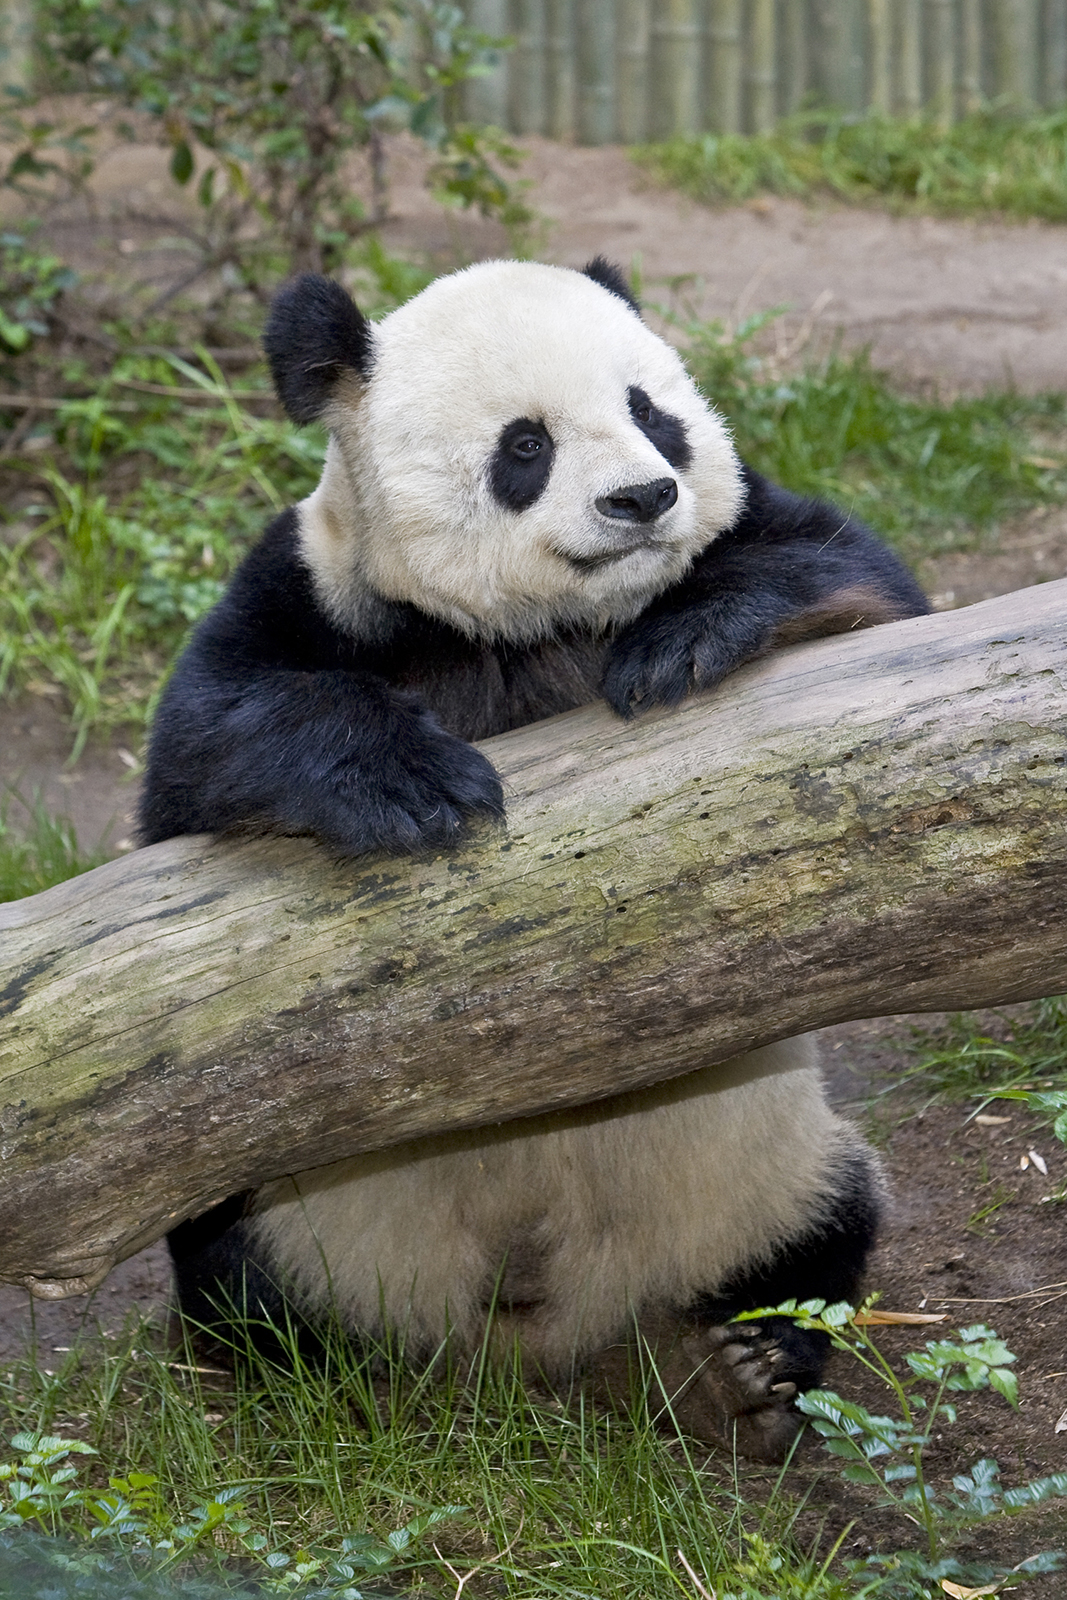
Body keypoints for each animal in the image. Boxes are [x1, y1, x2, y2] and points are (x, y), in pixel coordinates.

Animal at [141, 257, 929, 1461]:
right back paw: (331, 1376)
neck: (536, 632)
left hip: (750, 1168)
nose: (643, 500)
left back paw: (739, 1369)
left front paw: (684, 638)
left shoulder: (770, 537)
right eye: (525, 445)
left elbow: (862, 583)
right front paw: (411, 780)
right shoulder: (319, 590)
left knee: (823, 1226)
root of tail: (541, 1334)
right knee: (234, 1266)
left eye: (650, 412)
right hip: (316, 1218)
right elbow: (204, 737)